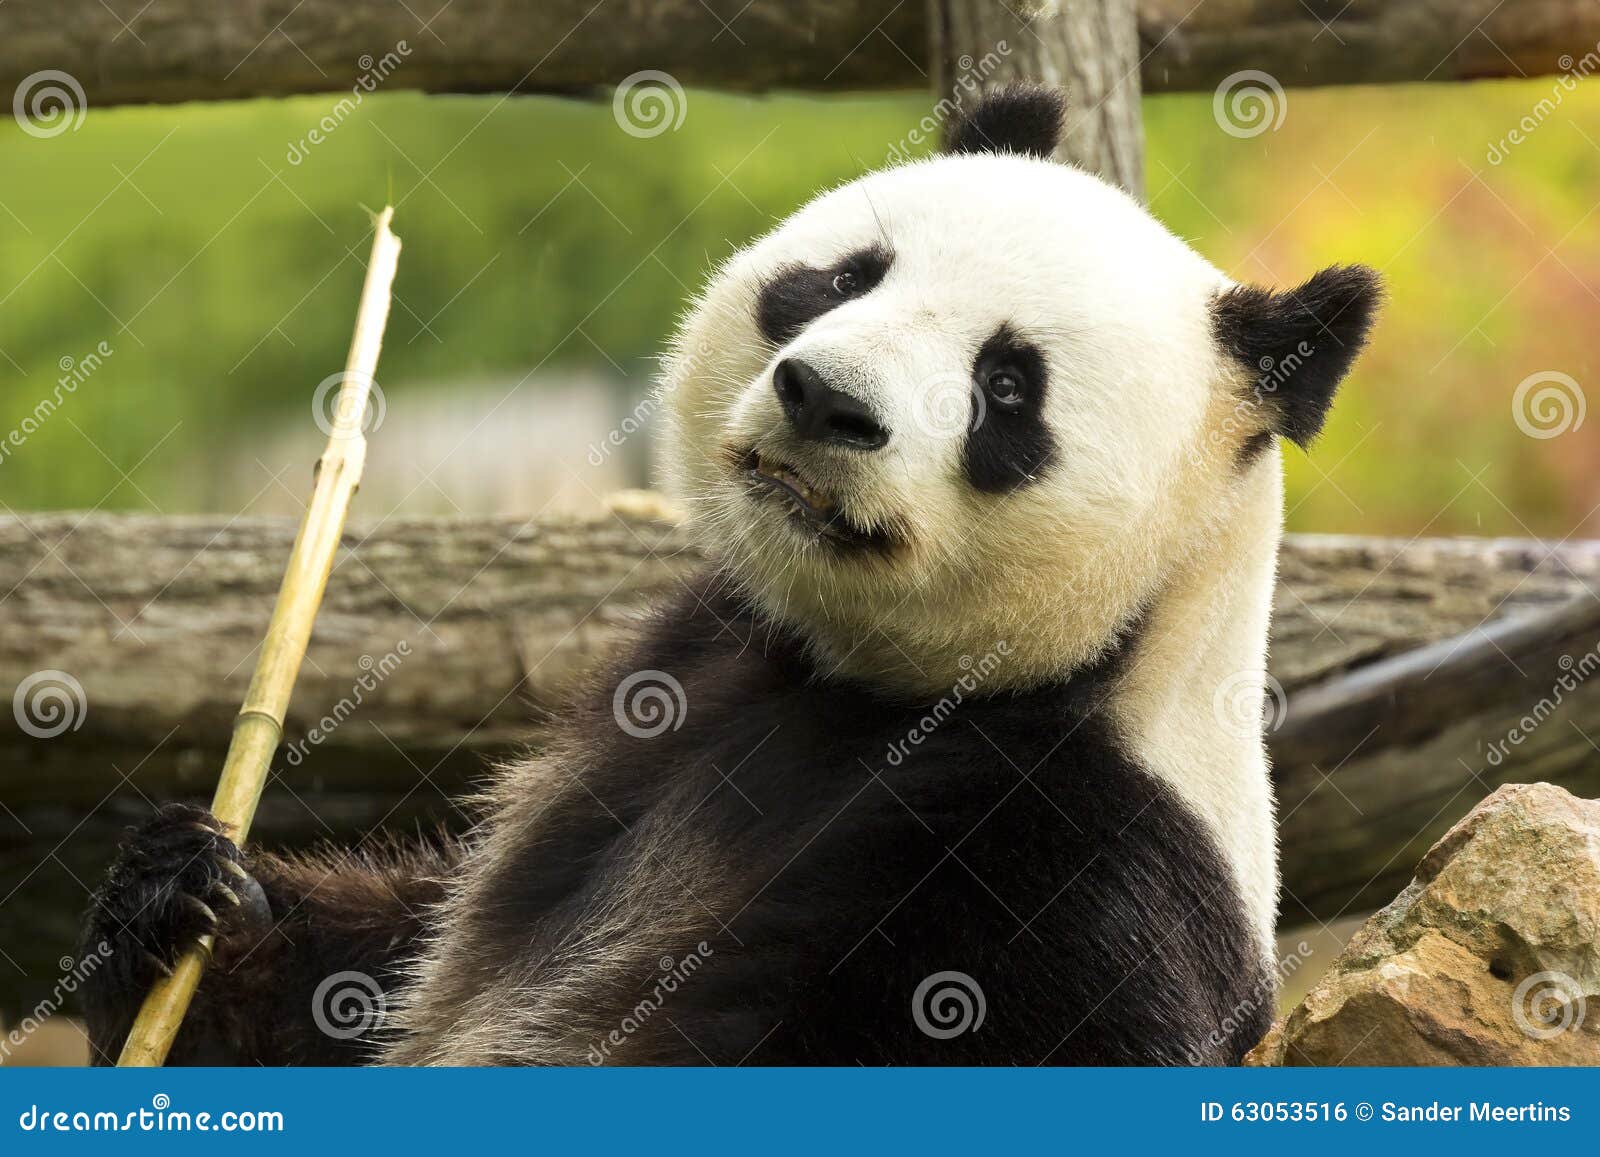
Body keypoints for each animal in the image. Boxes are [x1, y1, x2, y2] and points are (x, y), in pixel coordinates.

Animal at [80, 85, 1380, 1066]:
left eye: (1007, 386)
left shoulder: (1078, 873)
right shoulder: (666, 693)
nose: (826, 398)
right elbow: (384, 966)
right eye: (847, 277)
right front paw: (186, 903)